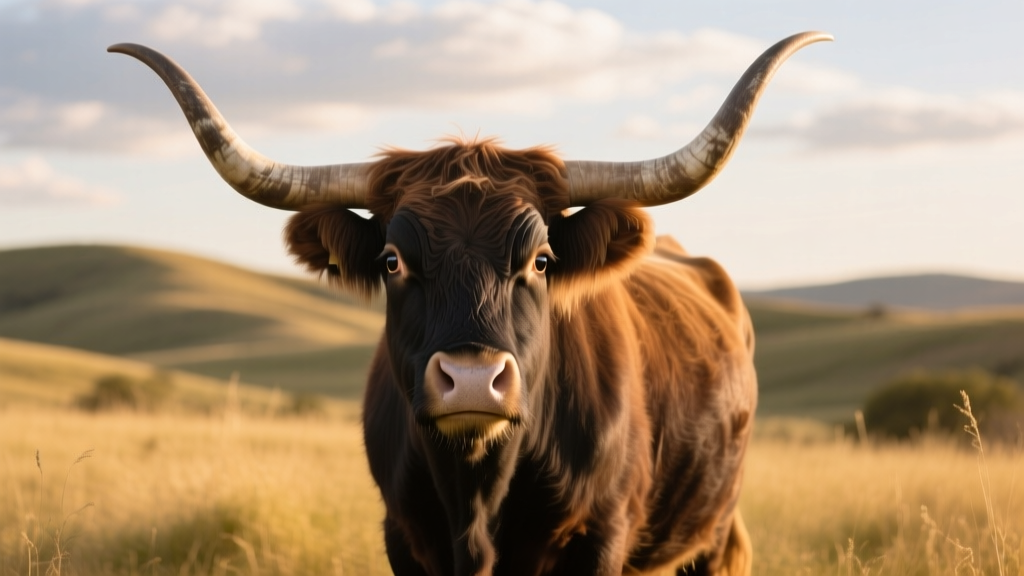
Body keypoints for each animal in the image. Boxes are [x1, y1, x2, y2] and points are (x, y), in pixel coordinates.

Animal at [109, 31, 830, 575]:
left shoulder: (602, 537)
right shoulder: (403, 536)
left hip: (714, 535)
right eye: (392, 261)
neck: (477, 498)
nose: (473, 379)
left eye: (541, 260)